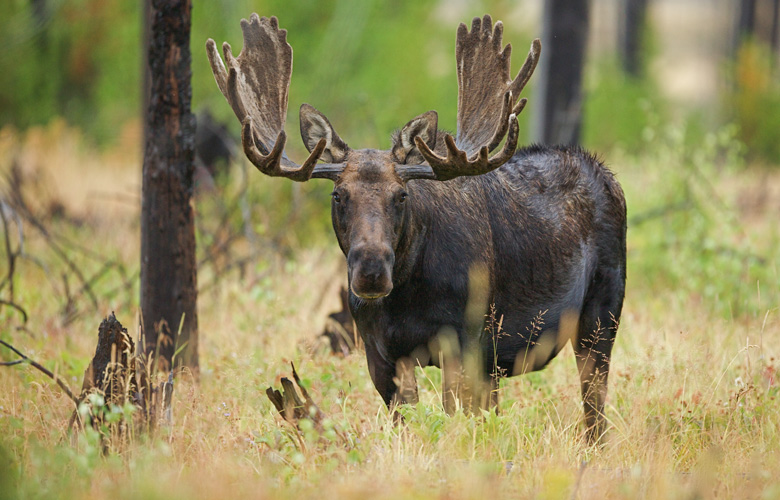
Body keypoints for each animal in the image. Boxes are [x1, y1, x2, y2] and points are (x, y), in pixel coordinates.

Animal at [206, 13, 626, 442]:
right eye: (338, 195)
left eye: (401, 195)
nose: (371, 271)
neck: (406, 297)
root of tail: (606, 173)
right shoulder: (381, 353)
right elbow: (405, 421)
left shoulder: (462, 340)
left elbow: (453, 417)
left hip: (601, 312)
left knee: (594, 404)